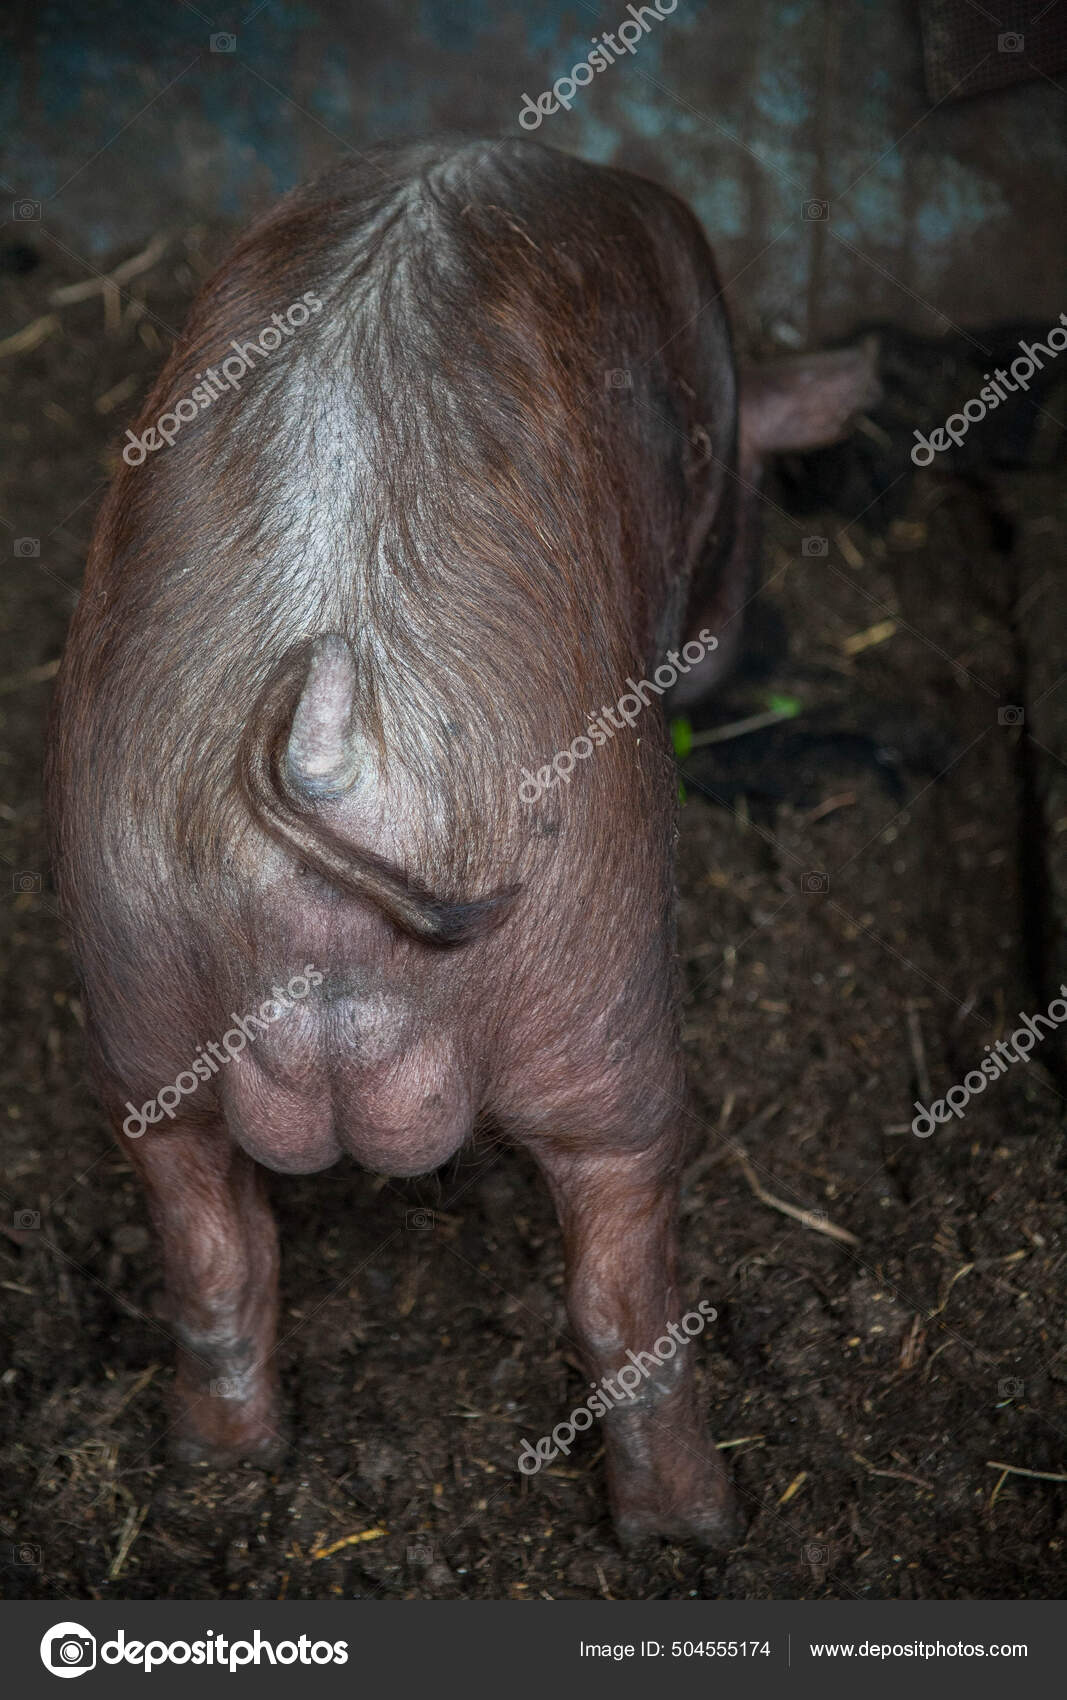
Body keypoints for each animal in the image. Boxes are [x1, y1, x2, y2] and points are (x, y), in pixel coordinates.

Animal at [46, 138, 878, 1550]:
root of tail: (328, 753)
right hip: (596, 973)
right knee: (617, 1282)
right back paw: (692, 1527)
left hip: (136, 974)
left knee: (209, 1253)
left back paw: (222, 1460)